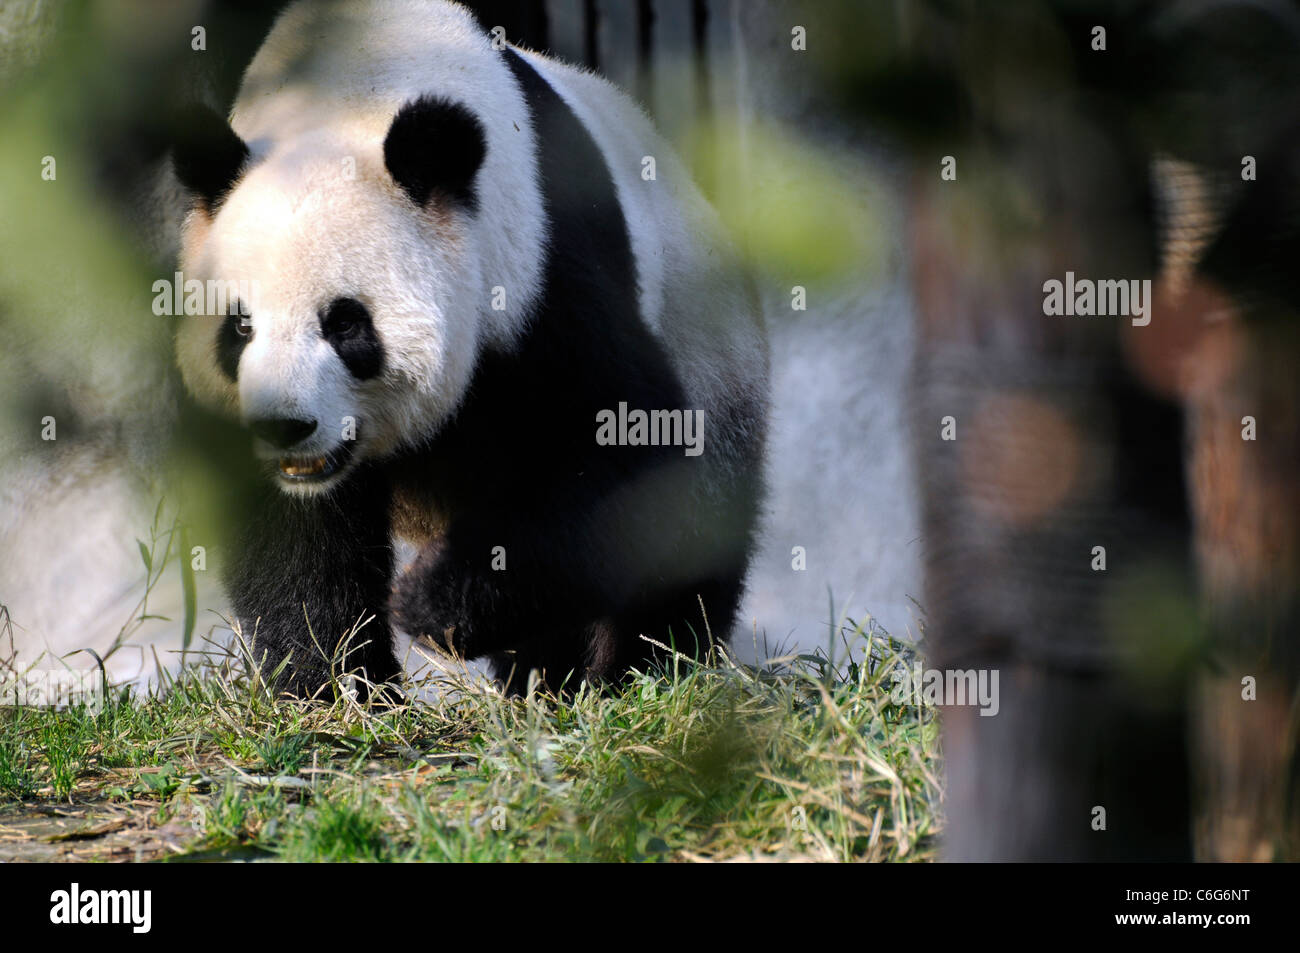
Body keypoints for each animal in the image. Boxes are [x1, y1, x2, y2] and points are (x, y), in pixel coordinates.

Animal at [169, 0, 768, 696]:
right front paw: (334, 686)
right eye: (239, 327)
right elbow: (294, 539)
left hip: (710, 342)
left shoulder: (539, 263)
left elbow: (626, 445)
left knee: (694, 528)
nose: (285, 426)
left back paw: (638, 674)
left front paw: (435, 606)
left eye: (346, 325)